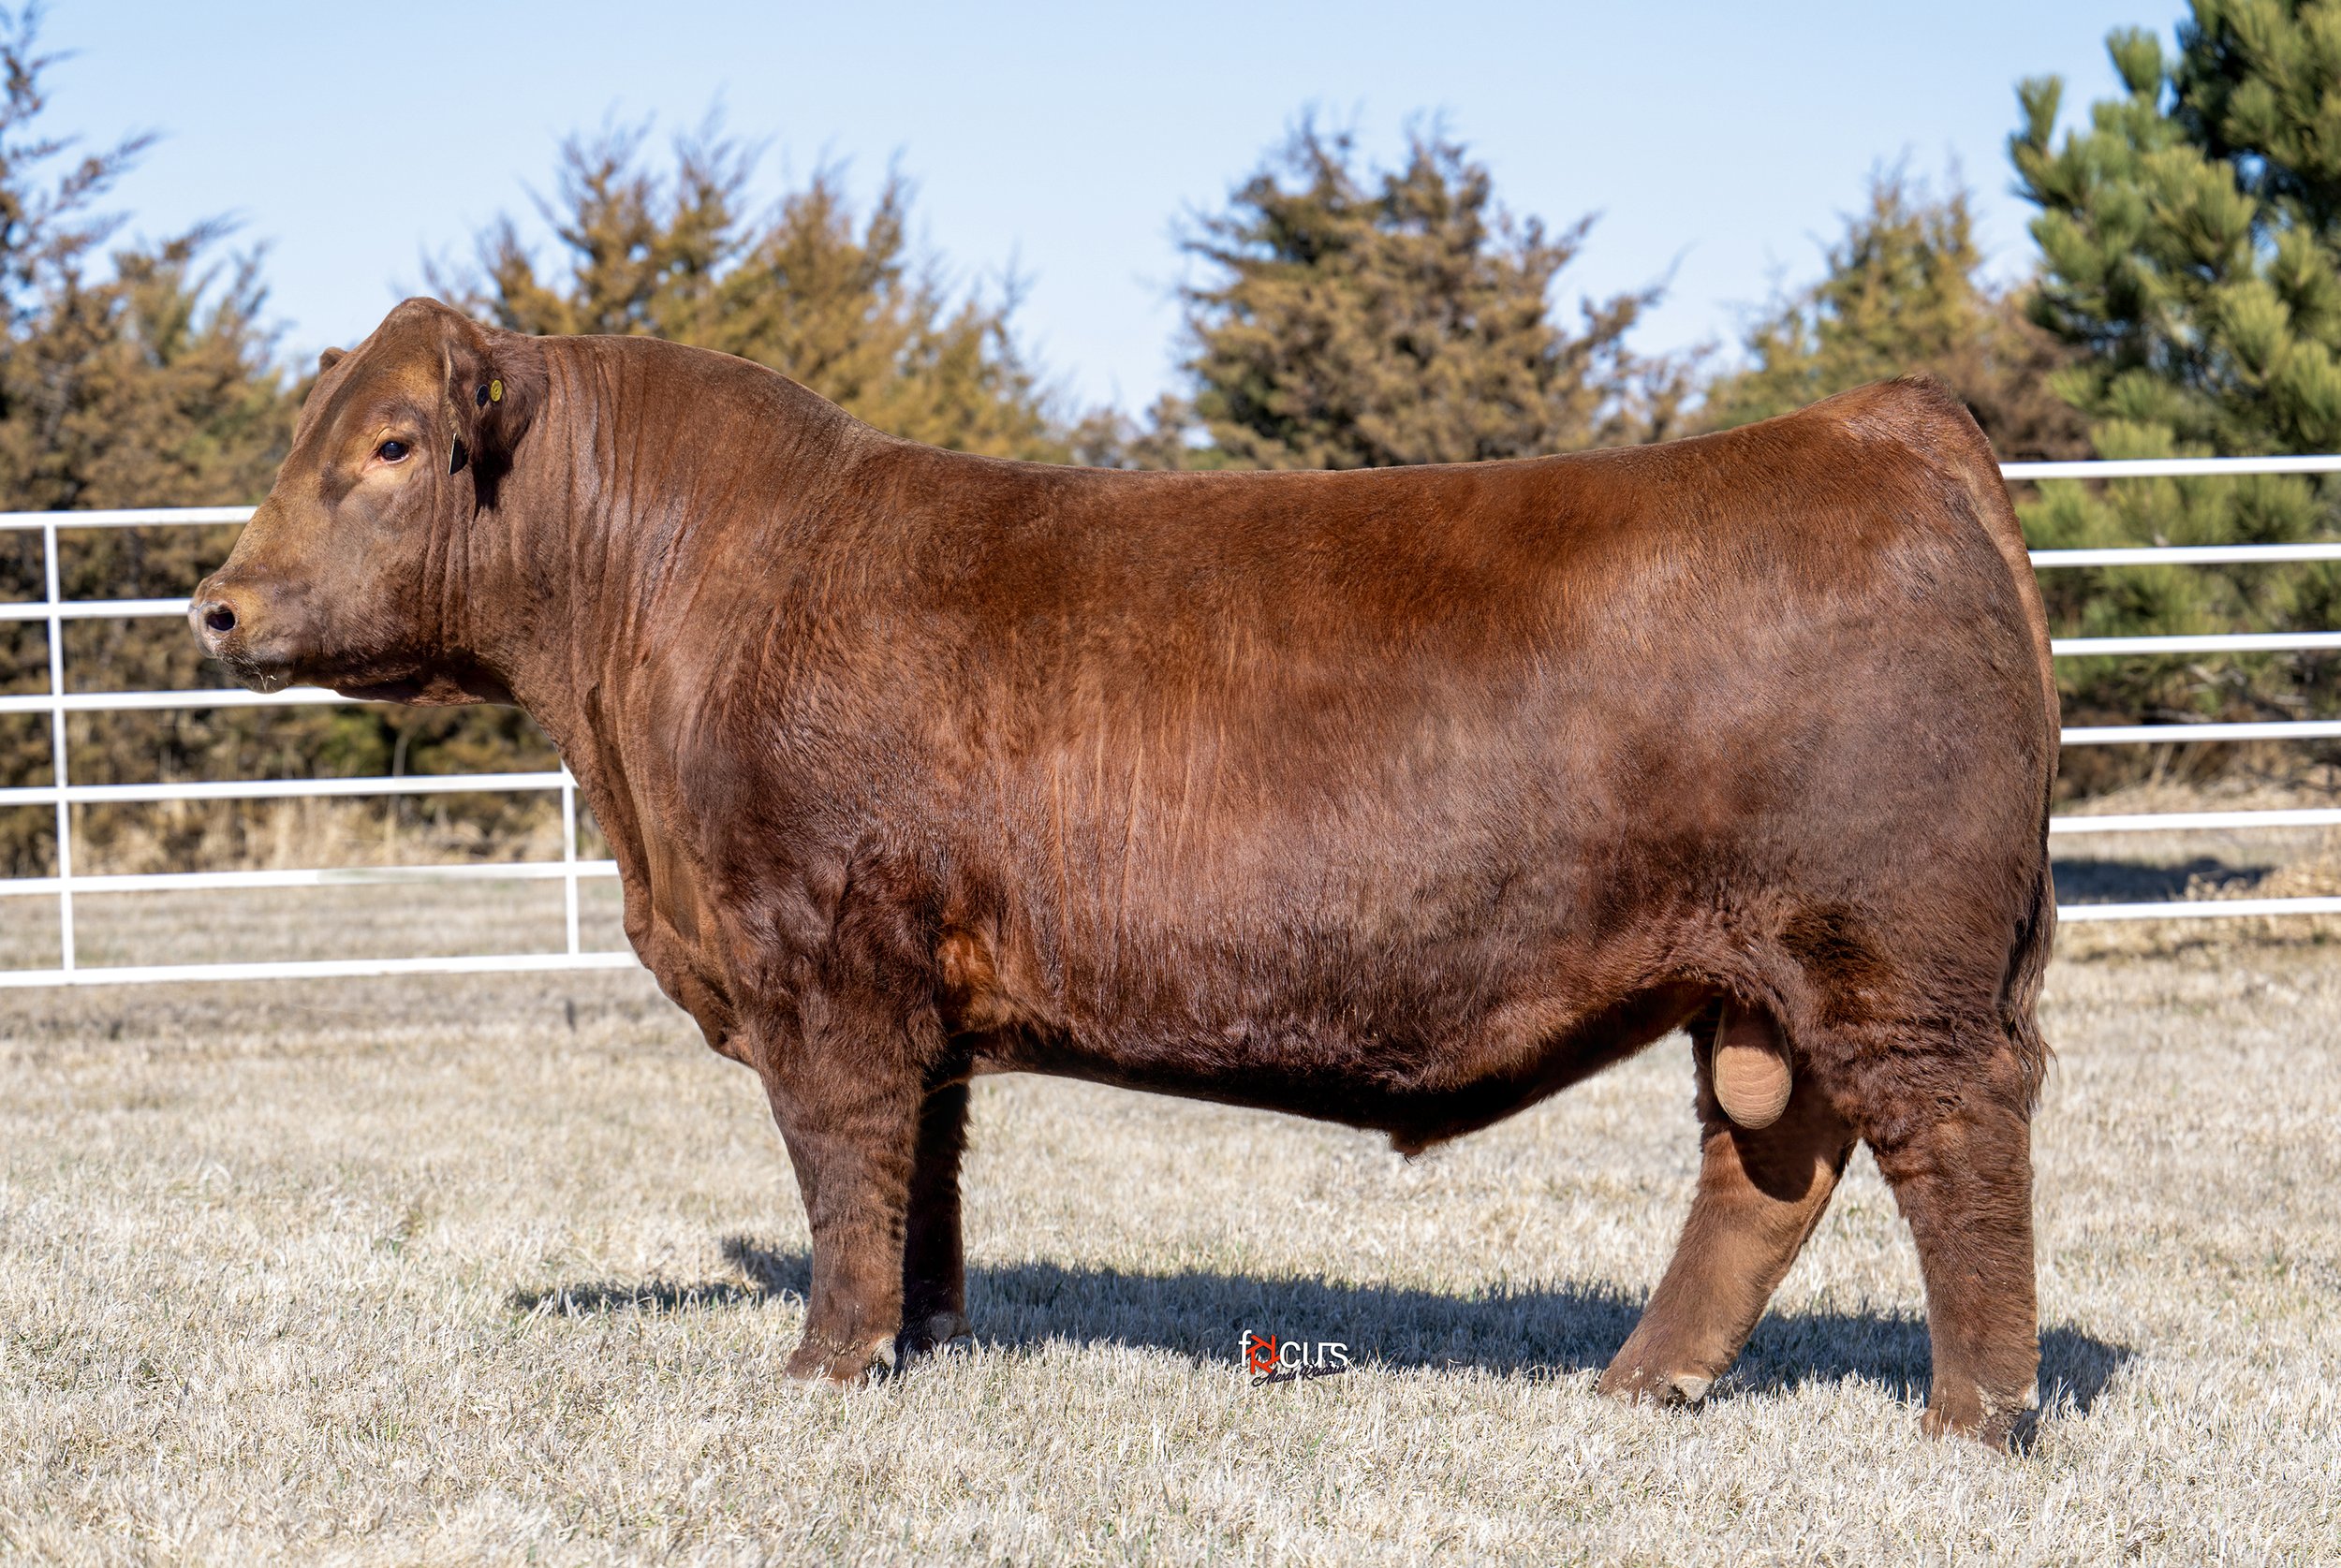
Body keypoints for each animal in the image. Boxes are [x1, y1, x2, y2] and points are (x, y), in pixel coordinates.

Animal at [192, 298, 2058, 1446]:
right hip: (1762, 985)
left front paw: (827, 1362)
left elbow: (845, 1172)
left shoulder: (824, 965)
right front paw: (927, 1340)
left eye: (393, 445)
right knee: (1766, 1173)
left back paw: (1974, 1416)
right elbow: (927, 1175)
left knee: (1957, 1147)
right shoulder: (917, 991)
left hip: (1890, 959)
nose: (214, 602)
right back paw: (1641, 1385)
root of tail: (1880, 426)